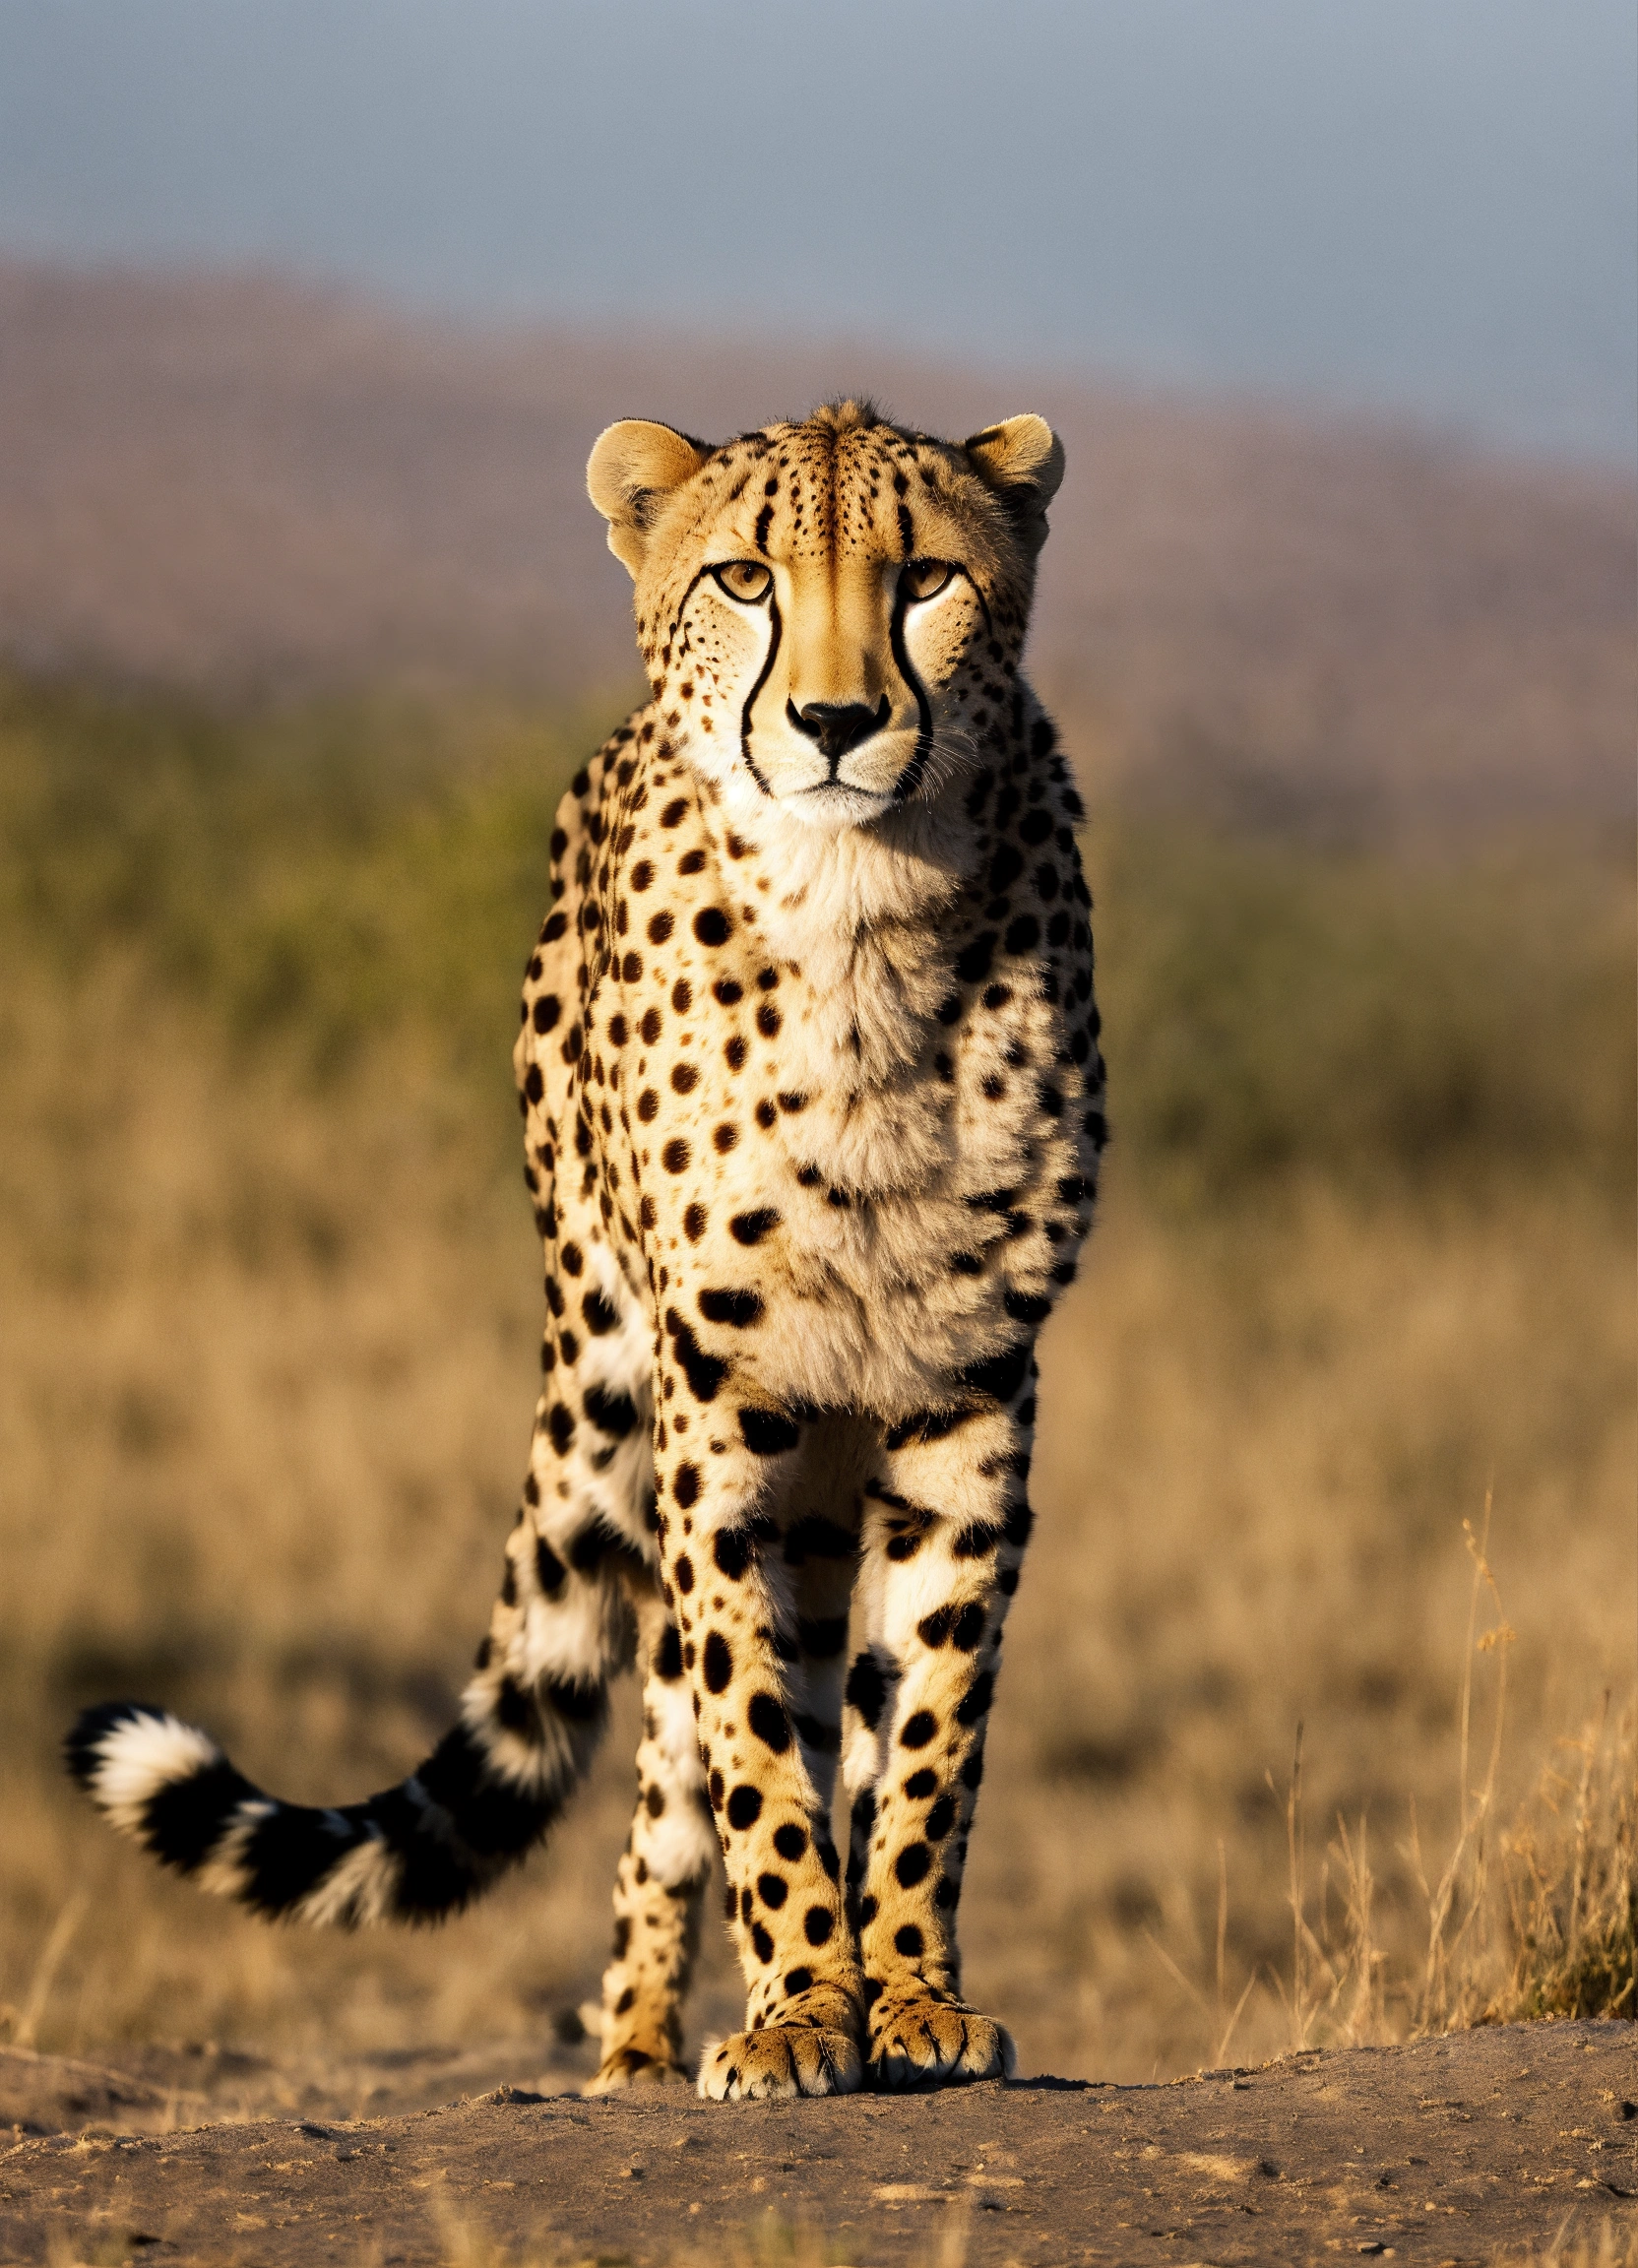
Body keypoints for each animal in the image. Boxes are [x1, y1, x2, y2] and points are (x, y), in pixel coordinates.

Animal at [67, 398, 1106, 2101]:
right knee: (683, 1744)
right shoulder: (725, 1396)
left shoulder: (969, 1387)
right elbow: (751, 1739)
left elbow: (929, 1738)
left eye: (928, 580)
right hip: (647, 1380)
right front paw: (805, 2009)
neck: (863, 914)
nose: (833, 721)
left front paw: (913, 1997)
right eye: (747, 576)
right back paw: (637, 2047)